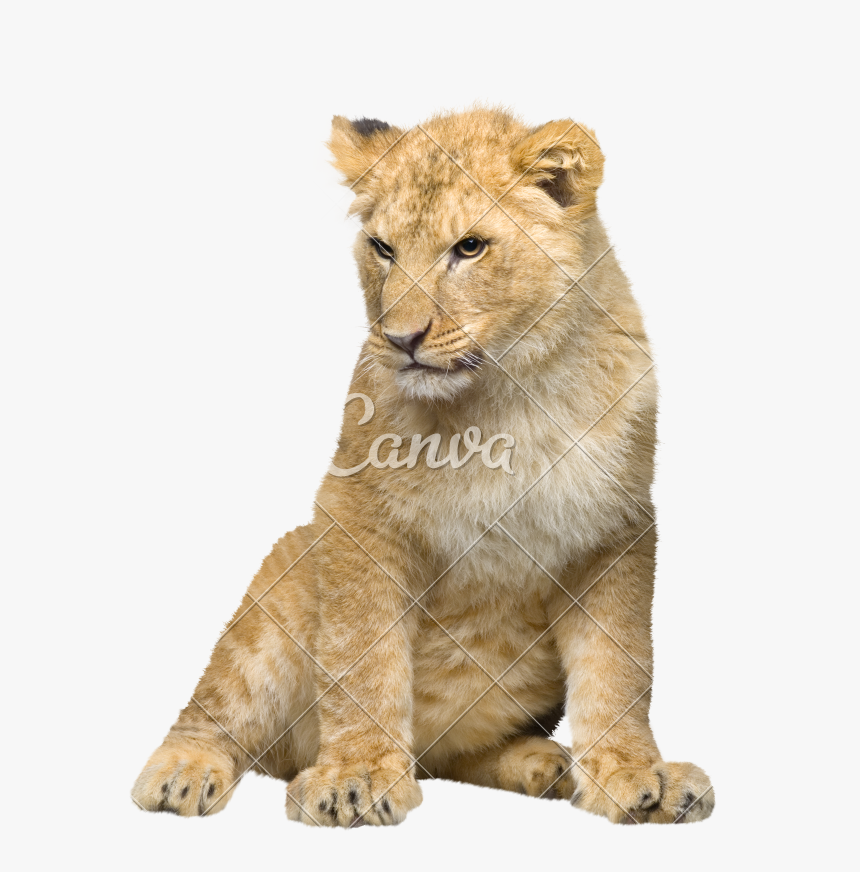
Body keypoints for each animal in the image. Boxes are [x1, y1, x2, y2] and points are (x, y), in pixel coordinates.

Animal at [131, 108, 714, 826]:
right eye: (383, 248)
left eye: (470, 247)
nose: (402, 339)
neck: (505, 394)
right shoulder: (353, 513)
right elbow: (362, 652)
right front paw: (354, 777)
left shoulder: (617, 525)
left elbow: (620, 662)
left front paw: (637, 774)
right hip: (283, 582)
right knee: (218, 706)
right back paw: (181, 774)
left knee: (453, 758)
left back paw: (540, 764)